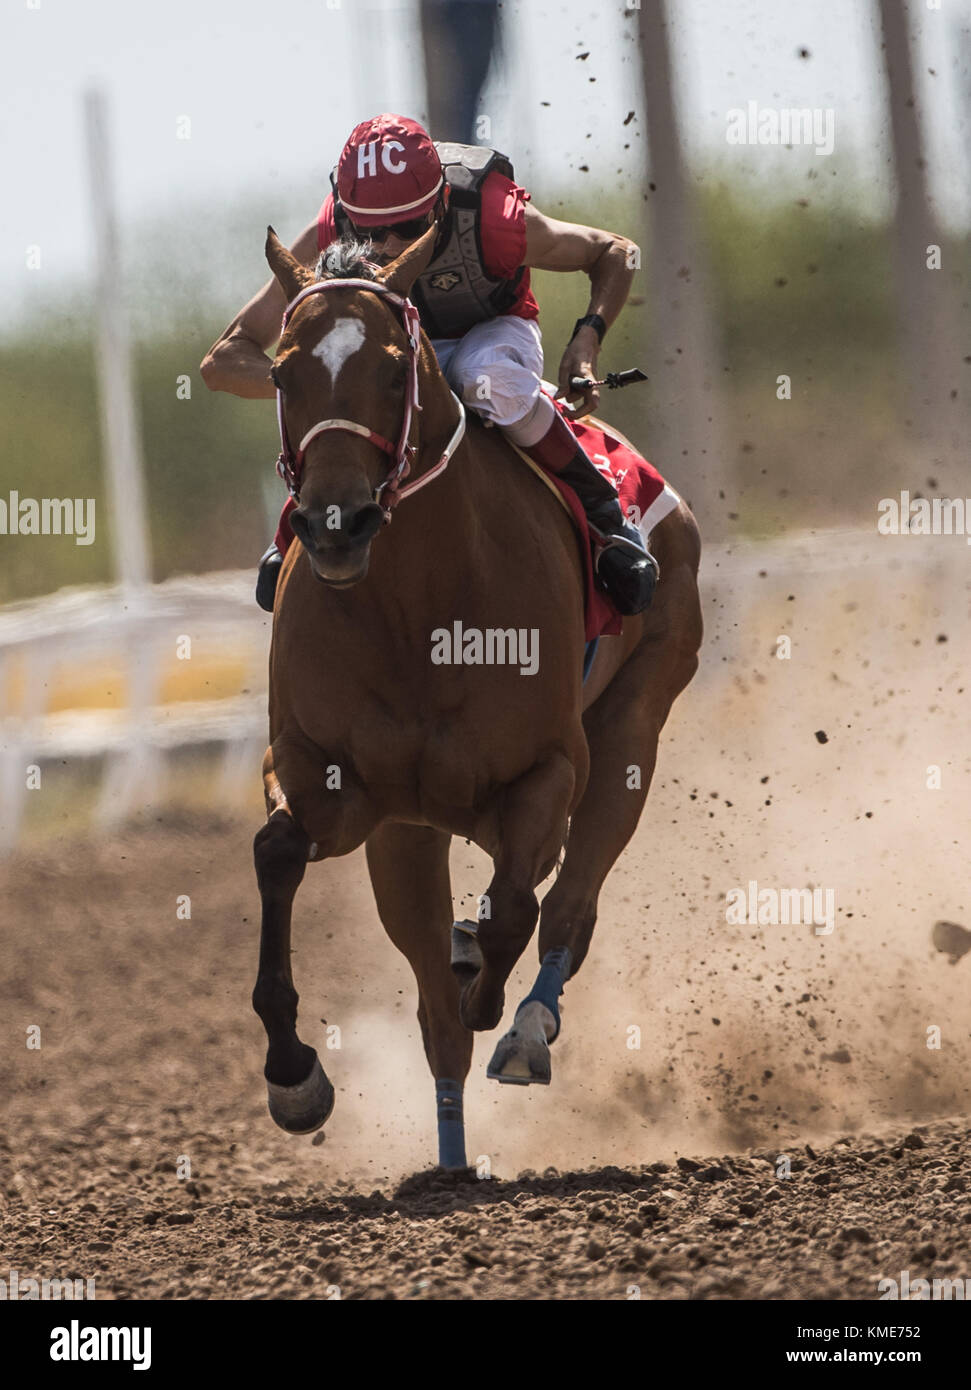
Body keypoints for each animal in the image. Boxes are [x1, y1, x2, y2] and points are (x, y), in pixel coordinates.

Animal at [252, 222, 703, 1168]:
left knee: (568, 904)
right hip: (409, 831)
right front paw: (294, 1075)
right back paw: (452, 1152)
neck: (414, 609)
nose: (335, 524)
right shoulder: (335, 780)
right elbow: (277, 852)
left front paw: (493, 997)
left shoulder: (545, 770)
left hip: (636, 722)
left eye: (394, 370)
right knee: (437, 1001)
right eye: (281, 372)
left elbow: (517, 910)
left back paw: (526, 1027)